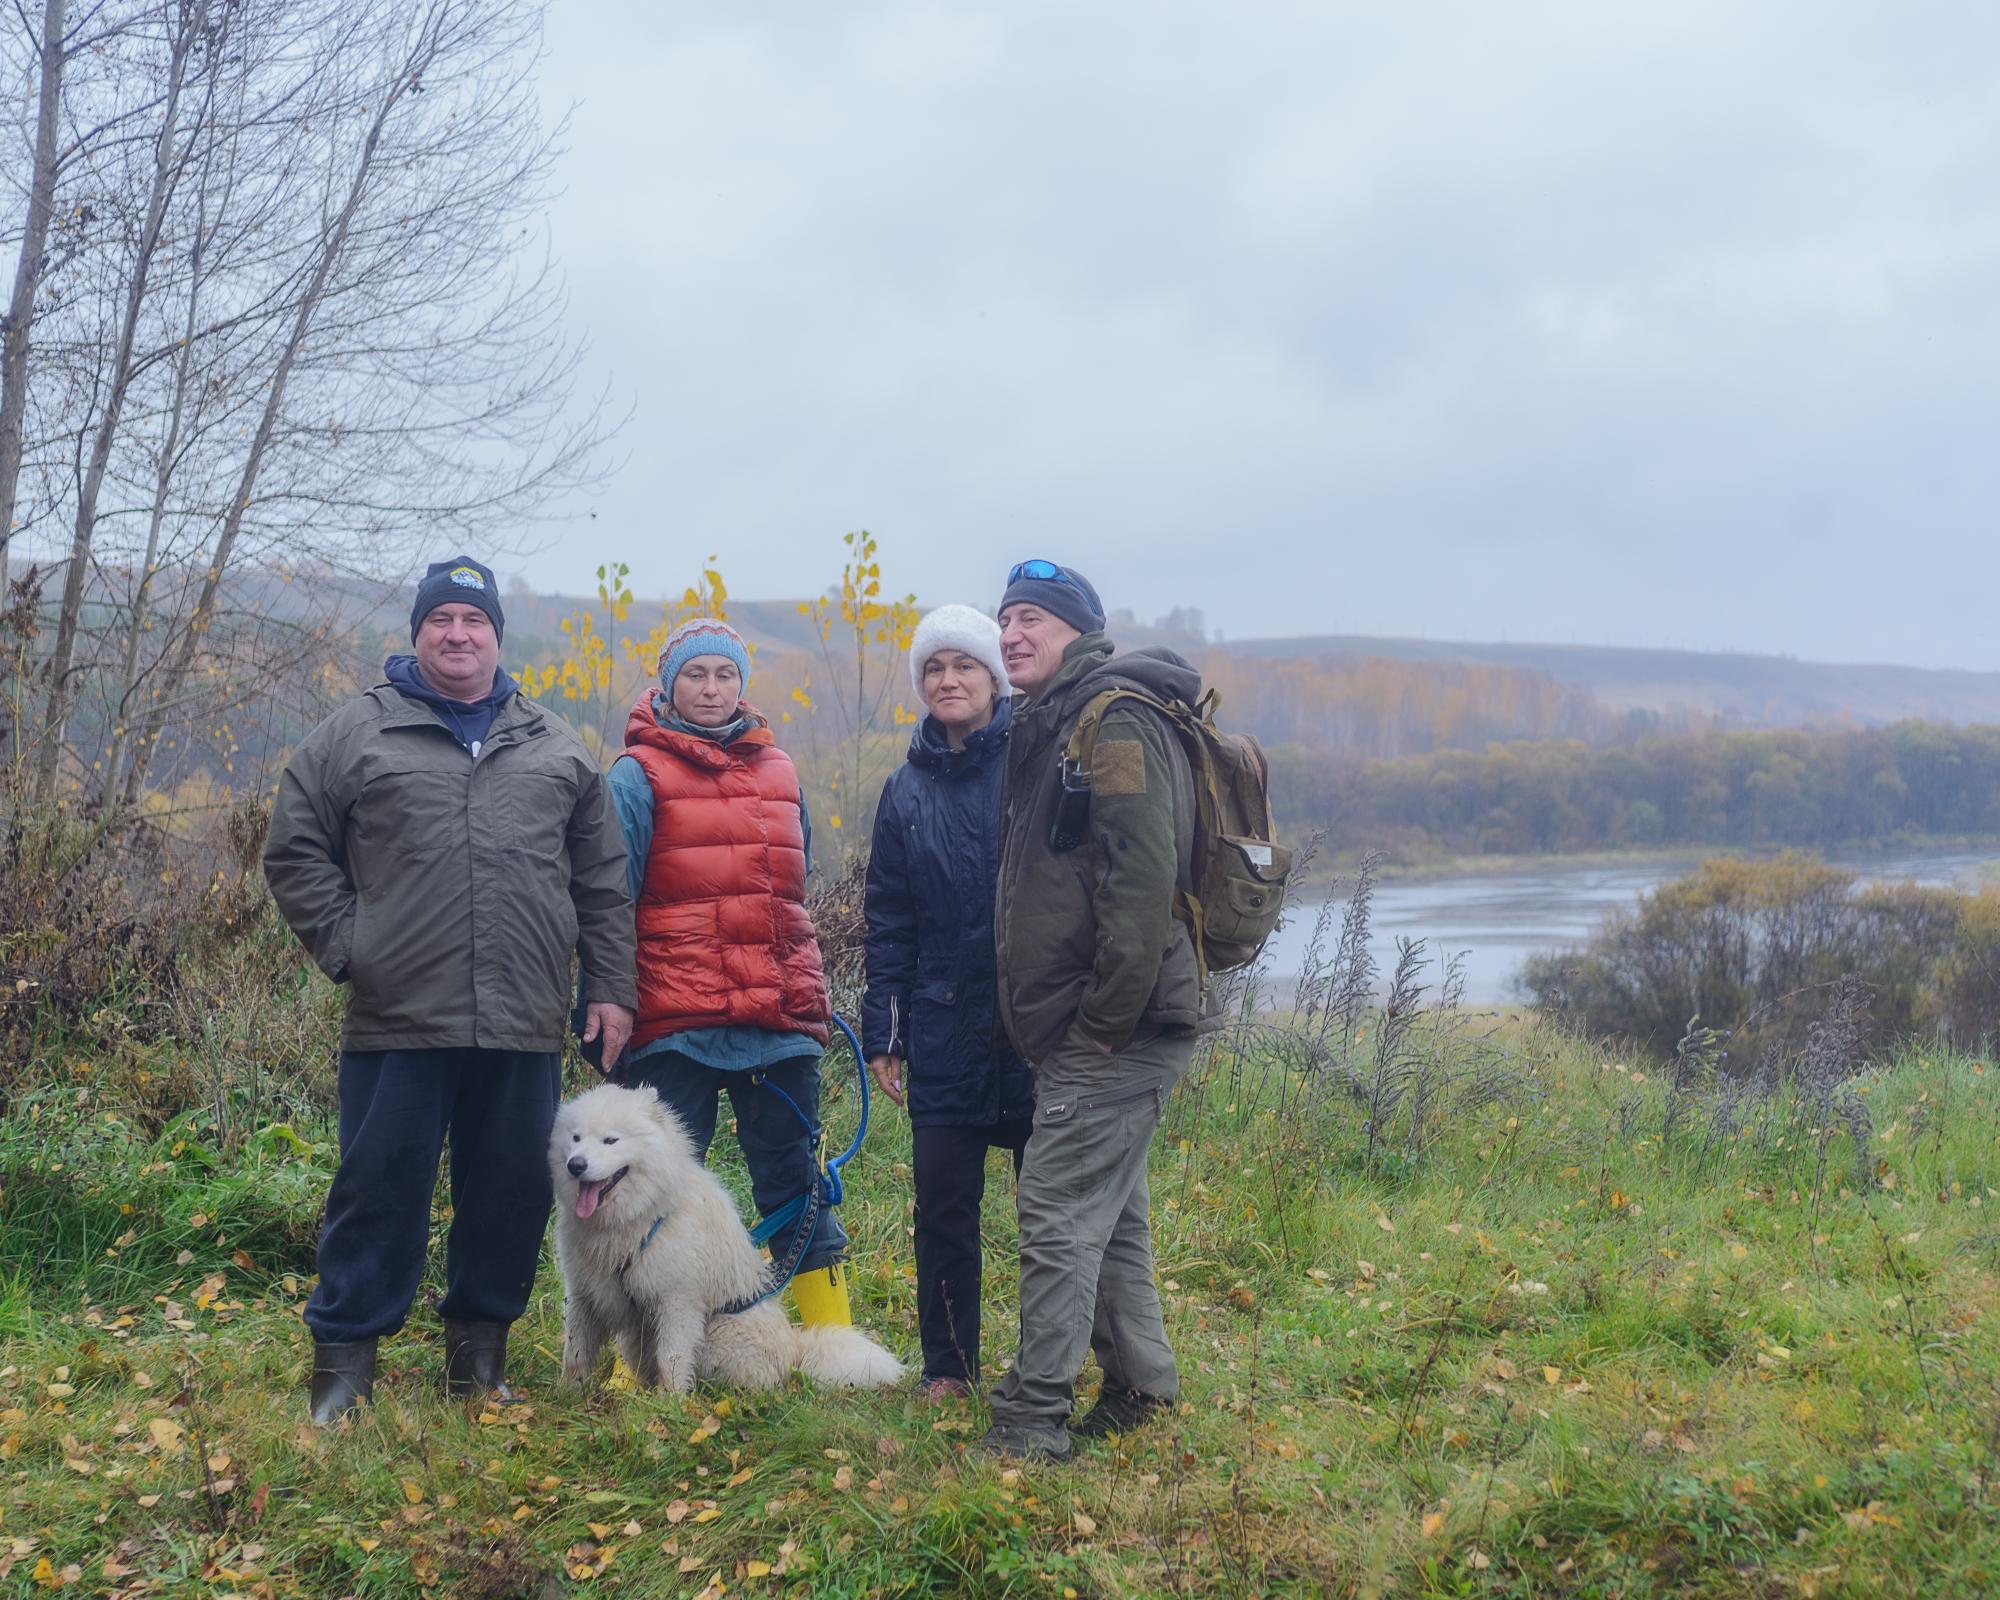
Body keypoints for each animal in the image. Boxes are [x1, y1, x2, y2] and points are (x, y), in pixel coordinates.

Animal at [540, 1088, 900, 1384]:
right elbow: (575, 1354)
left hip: (718, 1334)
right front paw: (569, 1397)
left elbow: (672, 1360)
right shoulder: (584, 1292)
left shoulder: (677, 1301)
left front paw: (668, 1406)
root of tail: (794, 1352)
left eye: (610, 1140)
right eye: (575, 1138)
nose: (576, 1165)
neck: (634, 1220)